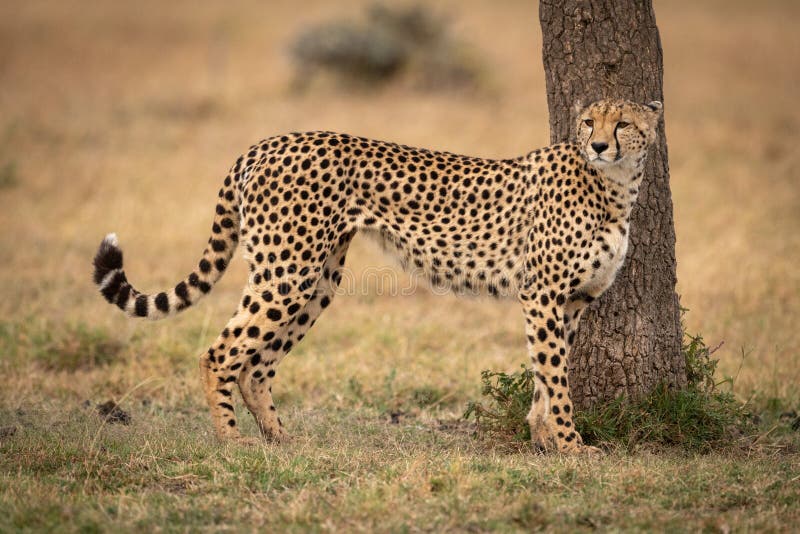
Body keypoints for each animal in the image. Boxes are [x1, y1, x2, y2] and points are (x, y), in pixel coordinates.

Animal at [92, 98, 663, 454]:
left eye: (623, 124)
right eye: (589, 122)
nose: (600, 145)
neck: (615, 186)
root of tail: (269, 141)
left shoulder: (572, 301)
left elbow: (547, 376)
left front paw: (543, 439)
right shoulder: (542, 295)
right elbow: (556, 376)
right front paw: (573, 446)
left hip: (318, 279)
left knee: (257, 364)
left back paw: (281, 439)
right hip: (288, 270)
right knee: (221, 352)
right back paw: (232, 441)